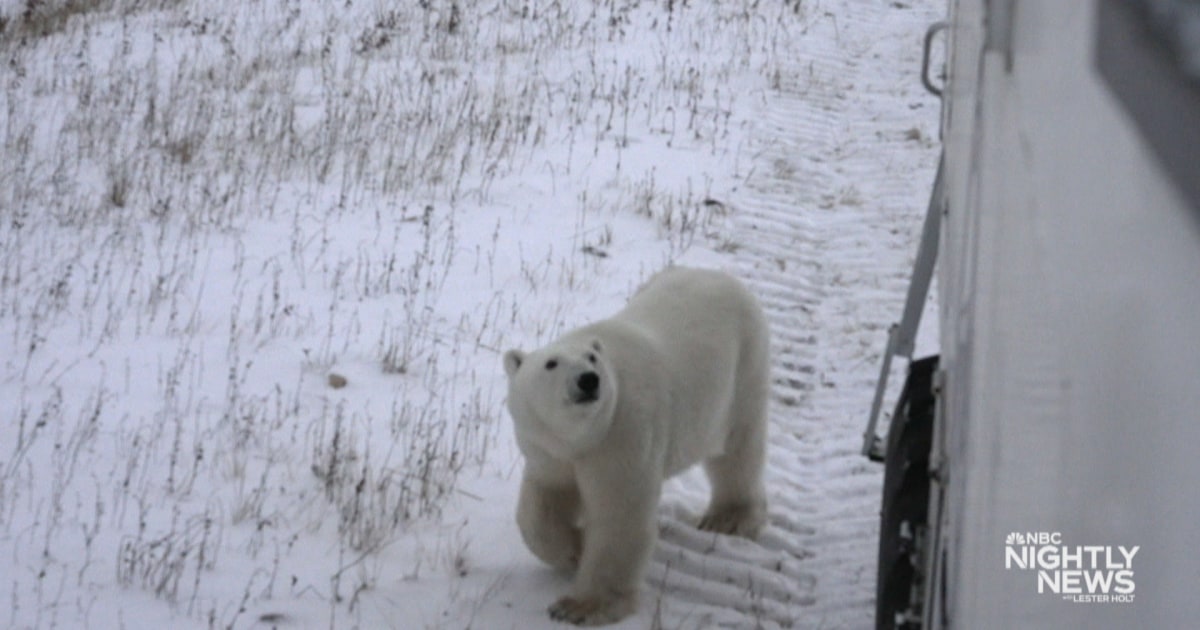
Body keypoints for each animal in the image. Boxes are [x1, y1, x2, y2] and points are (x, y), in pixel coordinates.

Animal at [502, 266, 770, 626]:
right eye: (551, 363)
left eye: (591, 358)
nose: (588, 380)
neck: (584, 436)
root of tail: (722, 276)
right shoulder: (549, 450)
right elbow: (543, 505)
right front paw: (575, 549)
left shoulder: (623, 433)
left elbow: (619, 515)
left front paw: (579, 607)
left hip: (744, 366)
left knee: (738, 448)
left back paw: (728, 518)